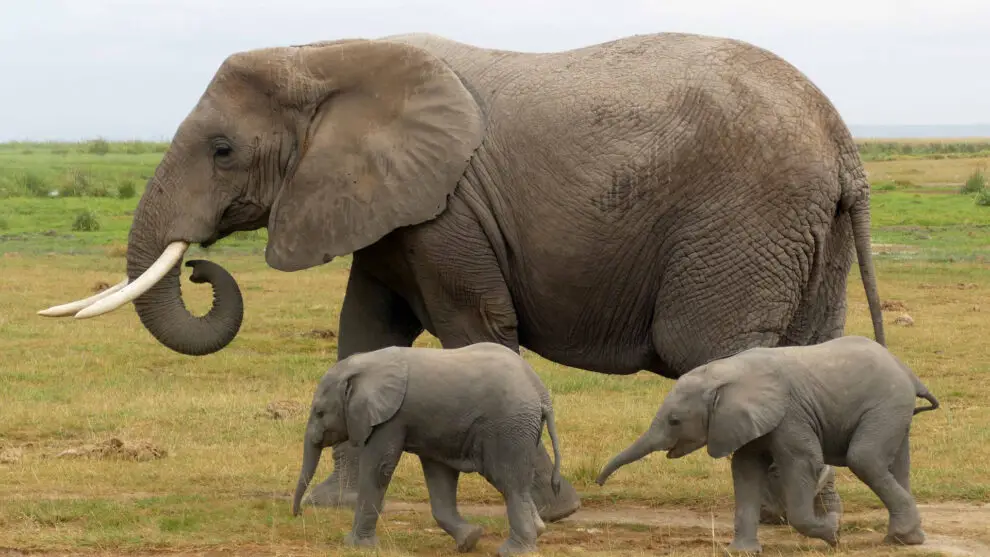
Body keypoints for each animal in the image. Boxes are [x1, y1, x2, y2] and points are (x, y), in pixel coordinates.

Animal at [37, 31, 887, 523]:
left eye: (221, 150)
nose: (202, 263)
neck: (328, 55)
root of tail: (842, 141)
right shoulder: (389, 206)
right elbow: (365, 330)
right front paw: (340, 503)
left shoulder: (450, 211)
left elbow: (473, 329)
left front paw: (549, 509)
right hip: (806, 233)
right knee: (813, 347)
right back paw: (804, 518)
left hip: (745, 222)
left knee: (717, 349)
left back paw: (779, 517)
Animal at [290, 342, 563, 556]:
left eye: (320, 413)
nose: (298, 514)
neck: (366, 365)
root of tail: (542, 394)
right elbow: (438, 474)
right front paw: (469, 540)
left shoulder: (390, 418)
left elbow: (379, 469)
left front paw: (355, 546)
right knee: (515, 482)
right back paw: (537, 532)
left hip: (509, 427)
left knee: (510, 483)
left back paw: (515, 551)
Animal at [595, 335, 940, 553]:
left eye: (675, 421)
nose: (598, 483)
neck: (726, 373)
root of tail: (909, 373)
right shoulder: (743, 421)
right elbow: (744, 469)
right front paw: (741, 552)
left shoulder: (790, 414)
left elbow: (802, 462)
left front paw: (832, 533)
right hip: (894, 409)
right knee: (897, 464)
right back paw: (907, 539)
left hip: (886, 403)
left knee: (864, 458)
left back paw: (899, 539)